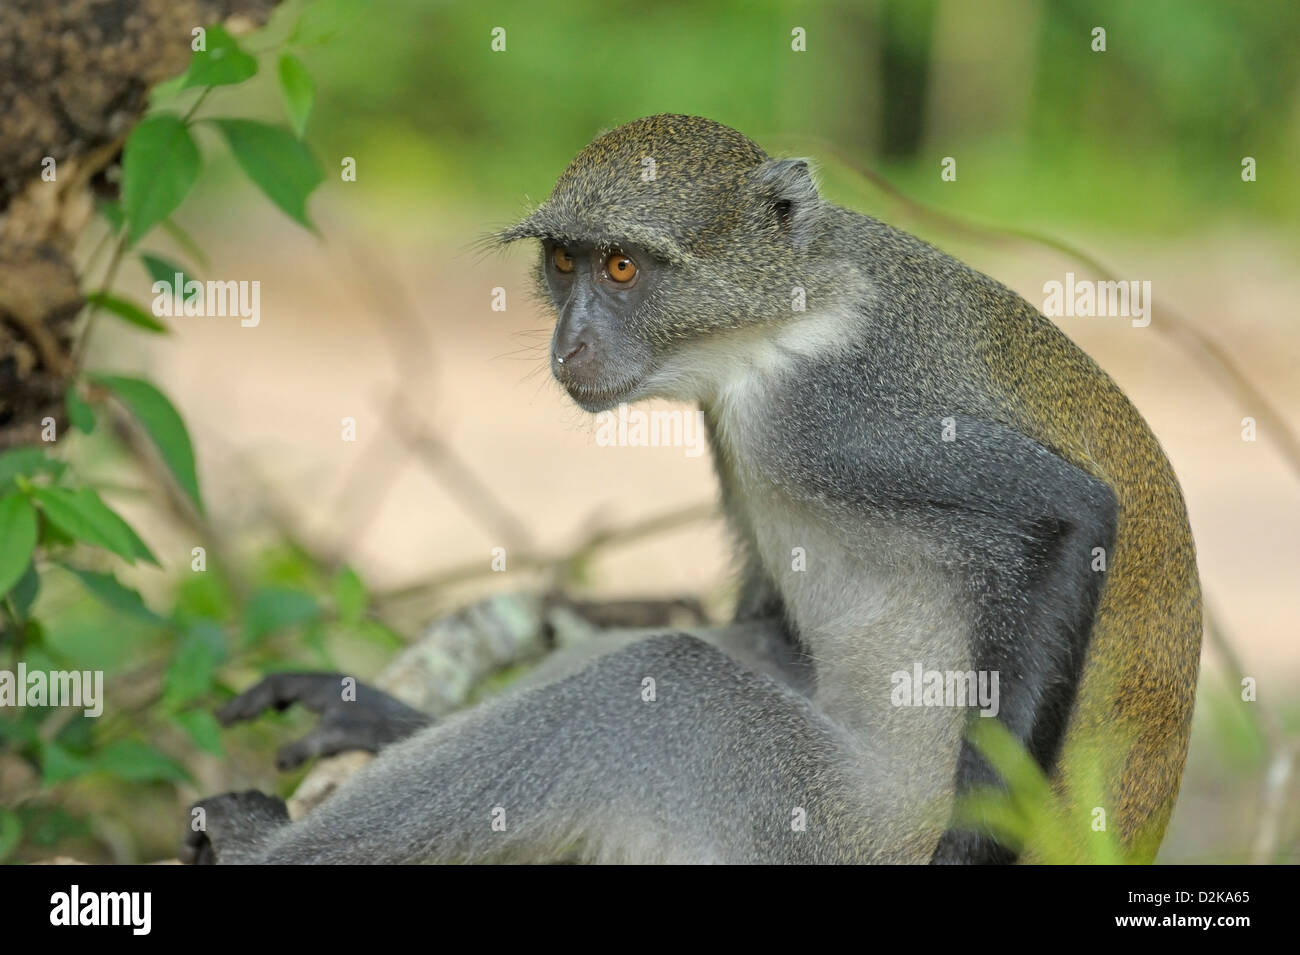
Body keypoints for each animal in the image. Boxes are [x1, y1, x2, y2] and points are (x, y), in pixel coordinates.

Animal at [182, 114, 1201, 865]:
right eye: (565, 263)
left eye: (622, 266)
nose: (569, 344)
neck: (776, 310)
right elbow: (765, 623)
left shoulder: (831, 410)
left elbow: (1067, 516)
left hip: (816, 827)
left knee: (663, 681)